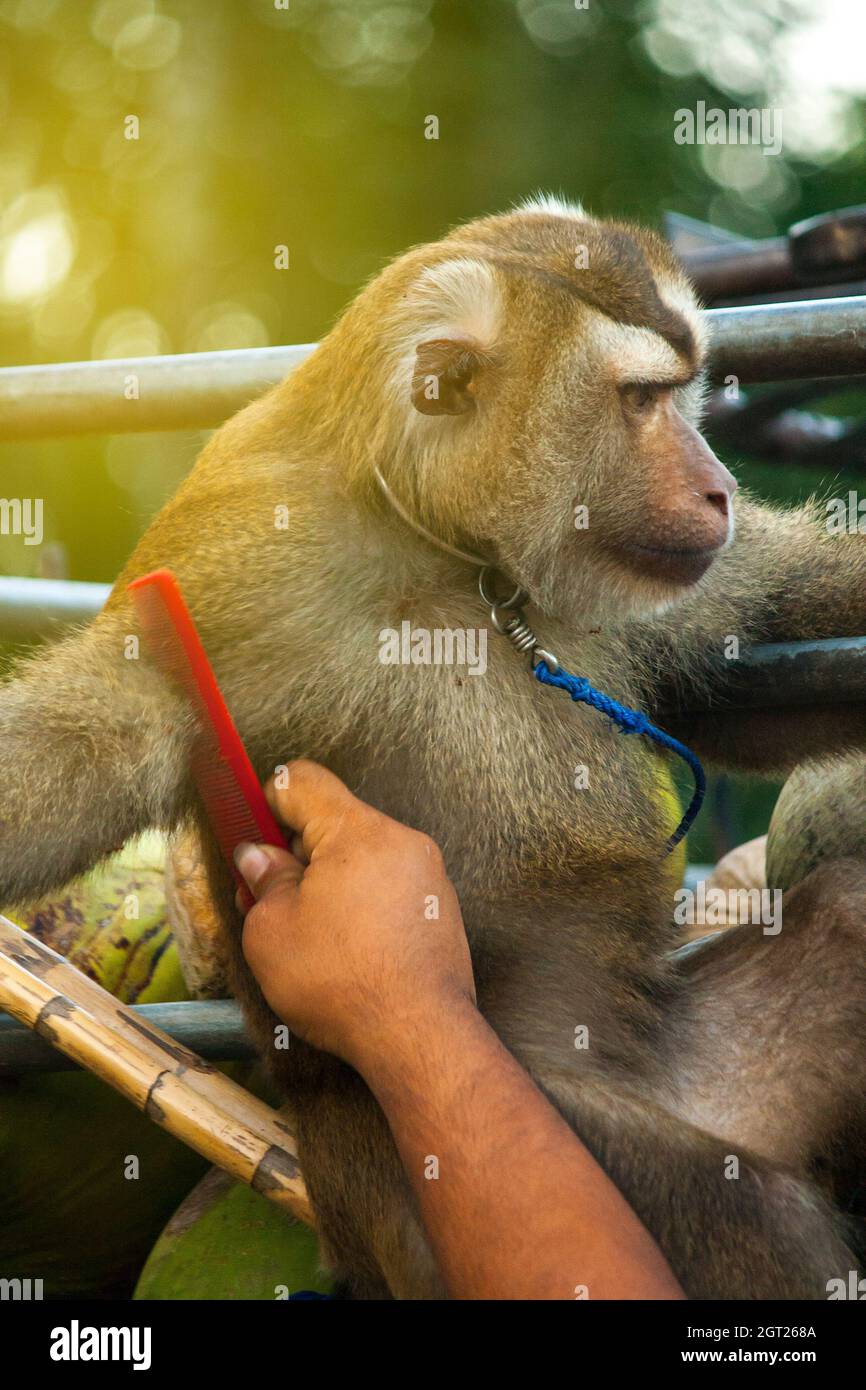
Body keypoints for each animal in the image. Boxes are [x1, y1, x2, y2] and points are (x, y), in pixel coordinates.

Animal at [2, 195, 866, 1299]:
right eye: (640, 400)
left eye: (684, 394)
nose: (717, 488)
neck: (447, 549)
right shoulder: (233, 567)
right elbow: (92, 741)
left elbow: (772, 640)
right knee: (748, 1210)